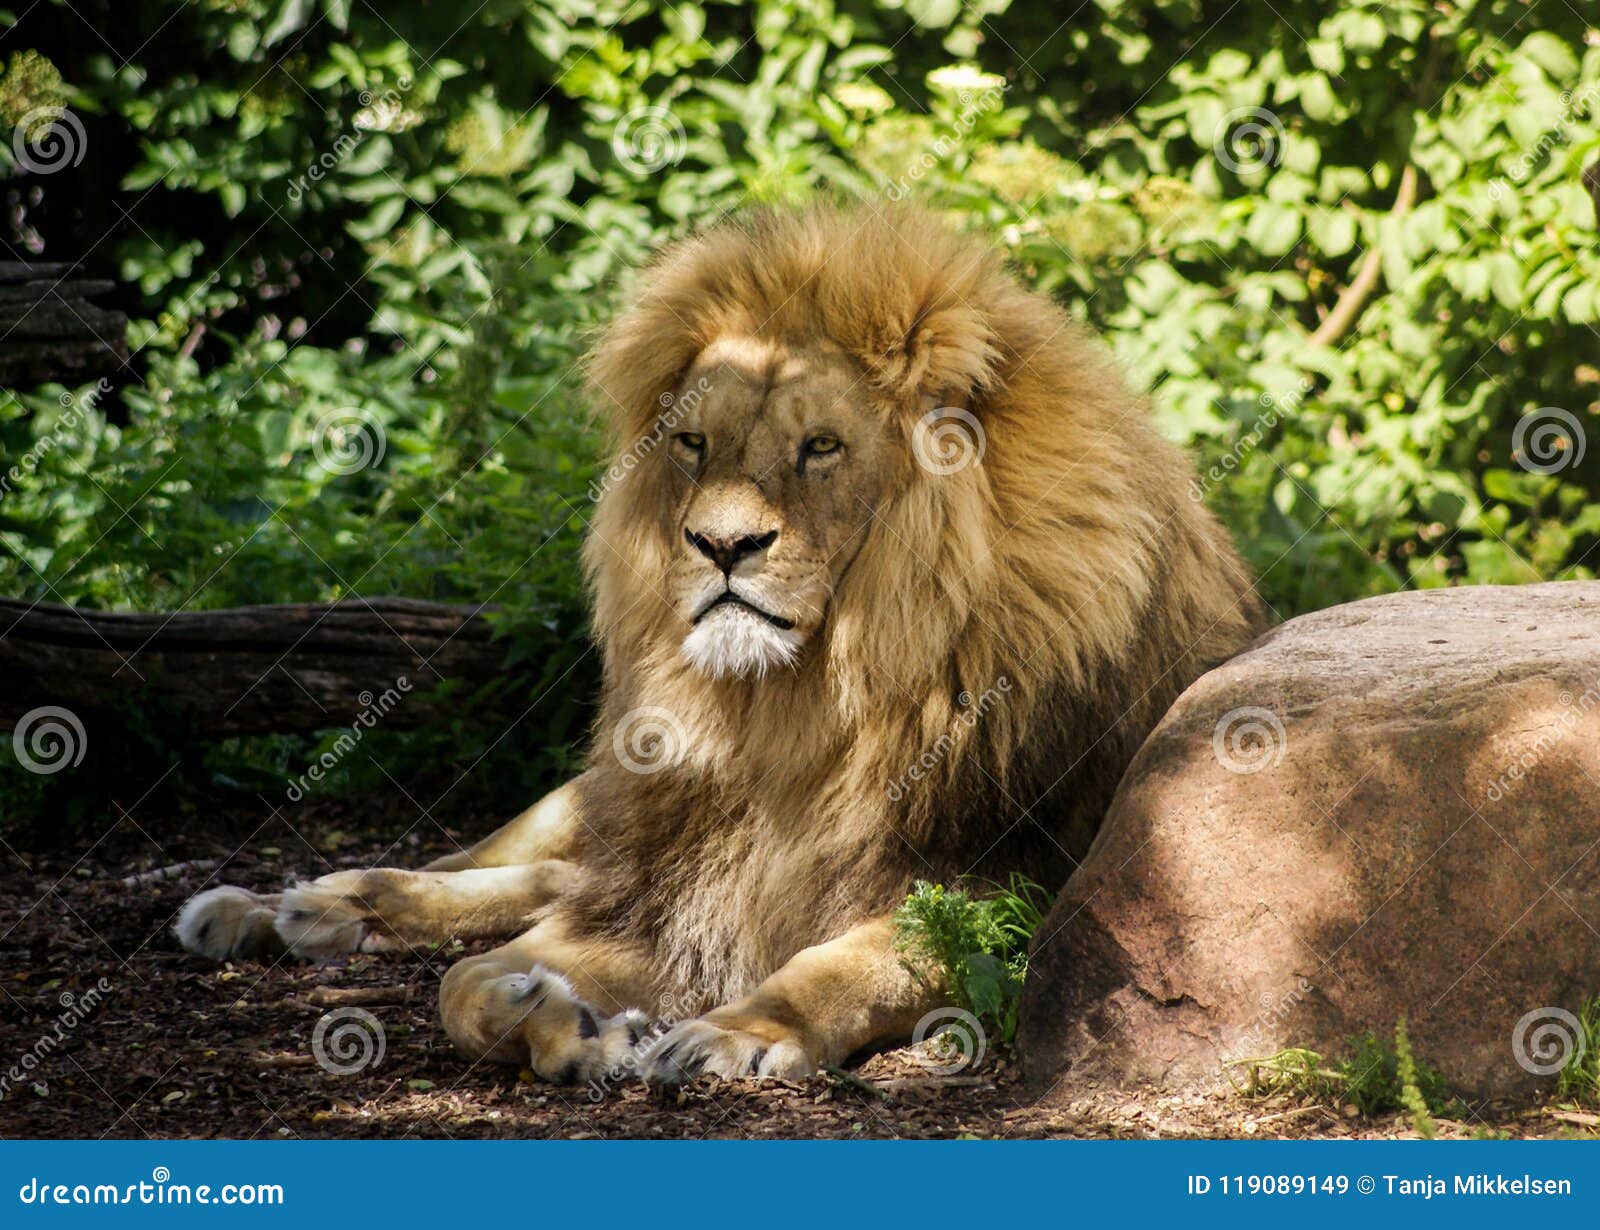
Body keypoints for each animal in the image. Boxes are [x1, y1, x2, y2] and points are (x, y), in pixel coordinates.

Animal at [175, 203, 1266, 1084]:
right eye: (694, 445)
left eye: (820, 447)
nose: (721, 544)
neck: (804, 704)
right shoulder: (671, 893)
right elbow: (467, 985)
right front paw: (566, 1026)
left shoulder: (1009, 887)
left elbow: (840, 967)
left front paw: (739, 1032)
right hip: (599, 803)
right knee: (496, 864)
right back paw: (283, 904)